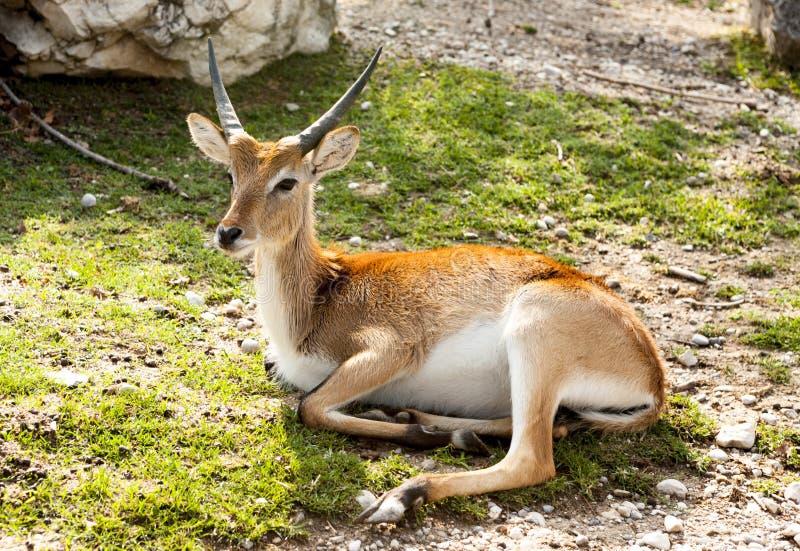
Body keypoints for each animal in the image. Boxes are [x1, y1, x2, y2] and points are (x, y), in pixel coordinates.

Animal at [187, 40, 667, 523]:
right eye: (232, 174)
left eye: (287, 181)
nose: (228, 233)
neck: (322, 293)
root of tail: (653, 376)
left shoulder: (393, 348)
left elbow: (309, 407)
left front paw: (421, 441)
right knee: (543, 426)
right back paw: (419, 420)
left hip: (534, 336)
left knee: (531, 458)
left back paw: (403, 490)